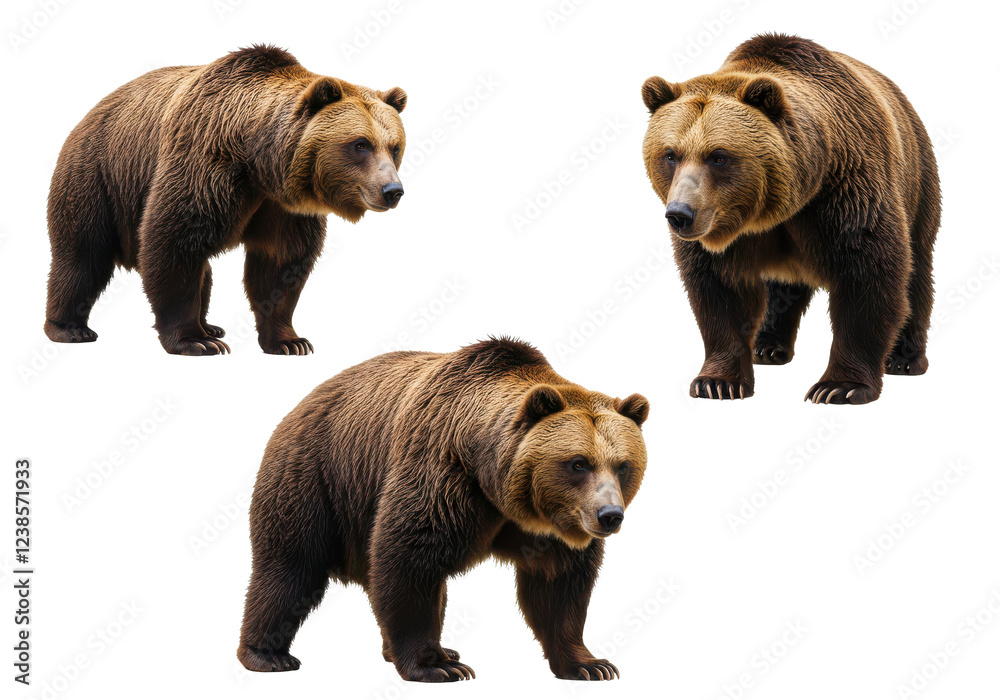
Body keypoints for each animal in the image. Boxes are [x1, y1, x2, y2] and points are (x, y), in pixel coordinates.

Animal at [44, 45, 407, 356]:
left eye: (394, 146)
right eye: (361, 144)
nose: (392, 190)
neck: (258, 161)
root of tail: (89, 113)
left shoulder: (282, 207)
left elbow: (281, 261)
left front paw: (290, 341)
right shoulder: (204, 164)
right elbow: (173, 242)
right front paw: (193, 341)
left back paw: (210, 326)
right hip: (98, 176)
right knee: (82, 255)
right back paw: (70, 328)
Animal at [237, 337, 650, 682]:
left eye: (622, 465)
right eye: (579, 463)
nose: (609, 516)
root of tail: (299, 405)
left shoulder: (549, 525)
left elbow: (559, 584)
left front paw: (591, 665)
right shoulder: (440, 475)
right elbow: (410, 560)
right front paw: (435, 666)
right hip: (317, 479)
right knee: (290, 568)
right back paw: (267, 655)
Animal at [641, 33, 940, 404]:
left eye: (718, 156)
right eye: (670, 154)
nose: (680, 214)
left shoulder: (846, 193)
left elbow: (868, 277)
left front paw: (840, 386)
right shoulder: (727, 234)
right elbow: (719, 290)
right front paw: (717, 382)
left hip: (918, 179)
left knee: (917, 271)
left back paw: (905, 358)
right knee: (782, 286)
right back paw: (767, 347)